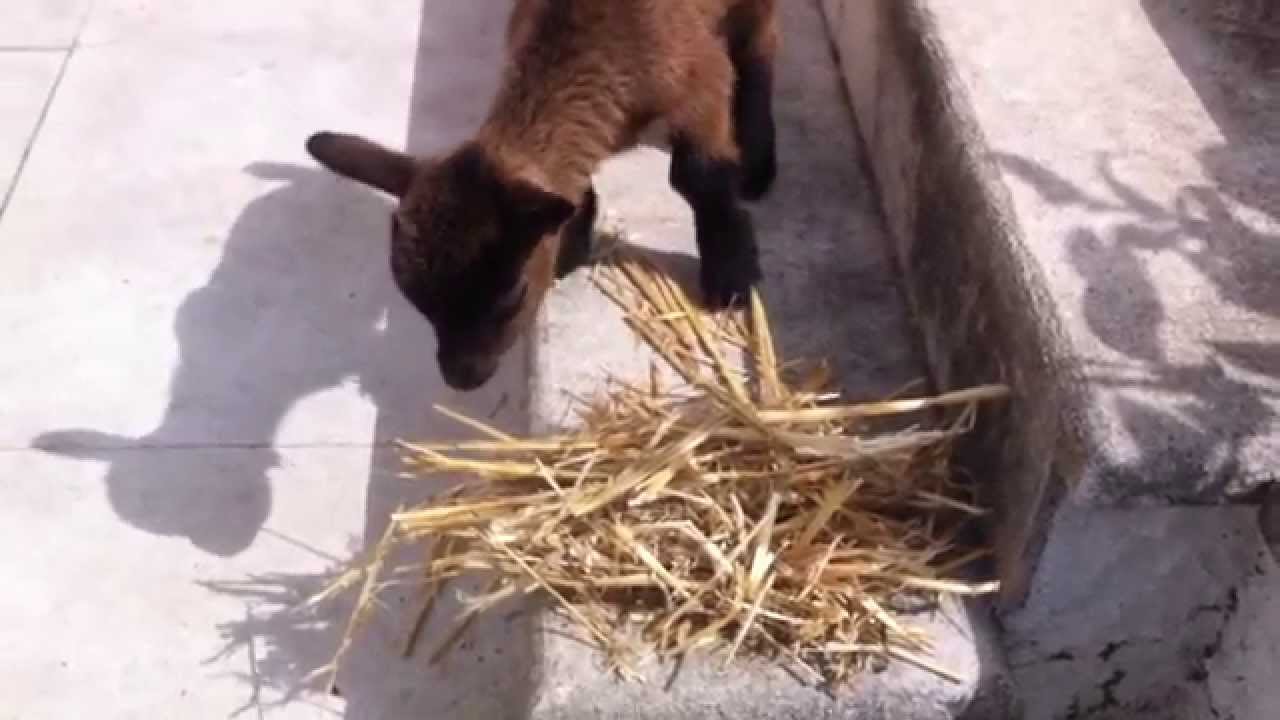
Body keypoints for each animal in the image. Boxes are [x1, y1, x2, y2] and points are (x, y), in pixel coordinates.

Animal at [306, 0, 779, 391]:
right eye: (420, 304)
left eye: (511, 296)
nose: (463, 378)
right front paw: (572, 245)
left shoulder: (701, 79)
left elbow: (699, 175)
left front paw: (730, 275)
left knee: (760, 42)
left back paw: (758, 160)